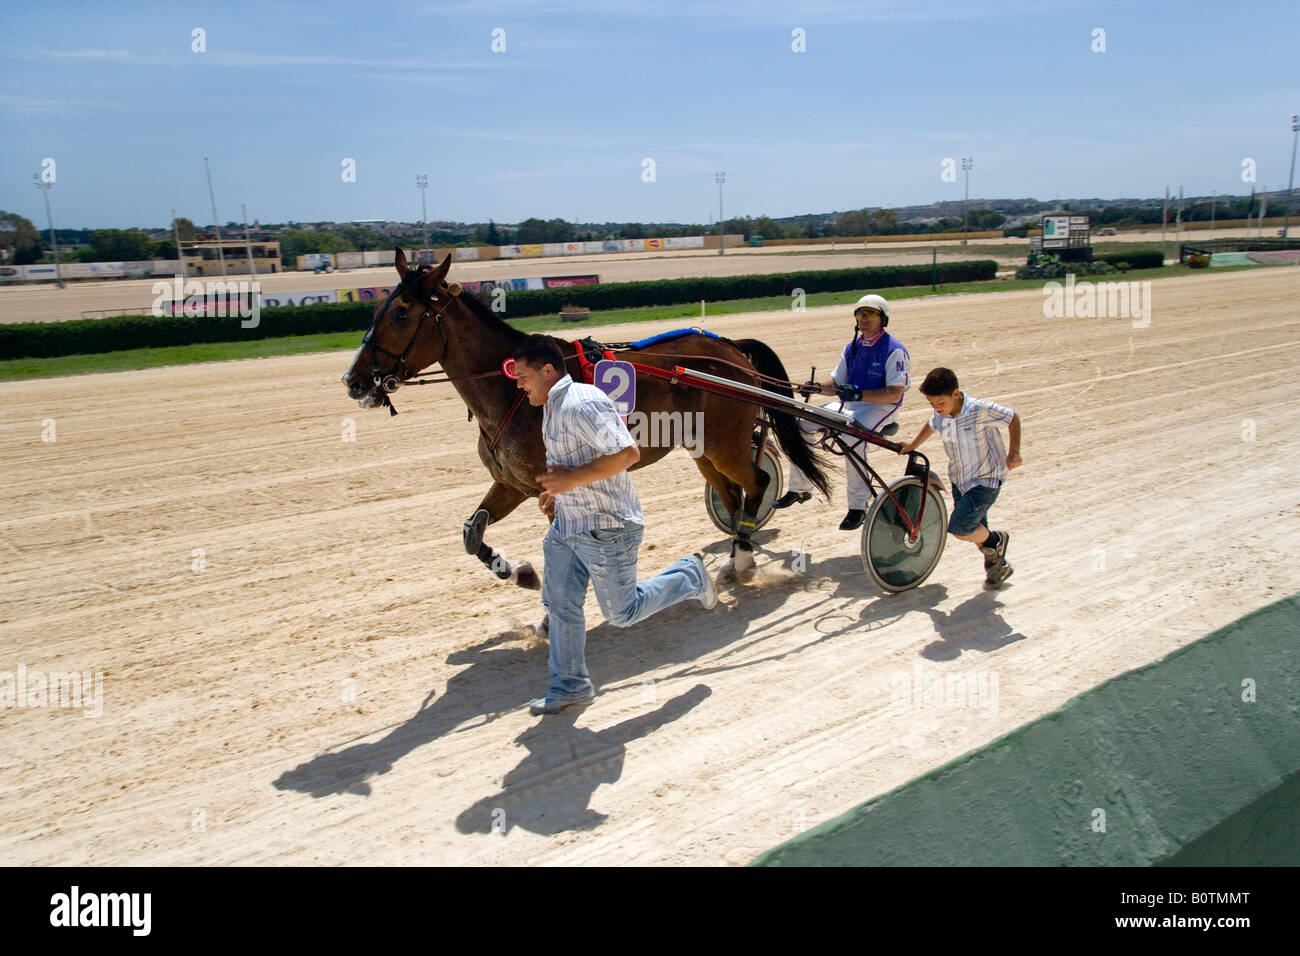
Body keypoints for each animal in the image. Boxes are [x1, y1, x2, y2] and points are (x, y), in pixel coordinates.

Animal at [341, 249, 829, 598]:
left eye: (401, 313)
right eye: (377, 309)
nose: (354, 380)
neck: (514, 389)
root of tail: (730, 348)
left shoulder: (554, 489)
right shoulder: (514, 483)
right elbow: (471, 531)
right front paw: (519, 574)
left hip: (725, 443)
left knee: (756, 484)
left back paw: (743, 557)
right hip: (702, 449)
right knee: (732, 496)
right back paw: (735, 554)